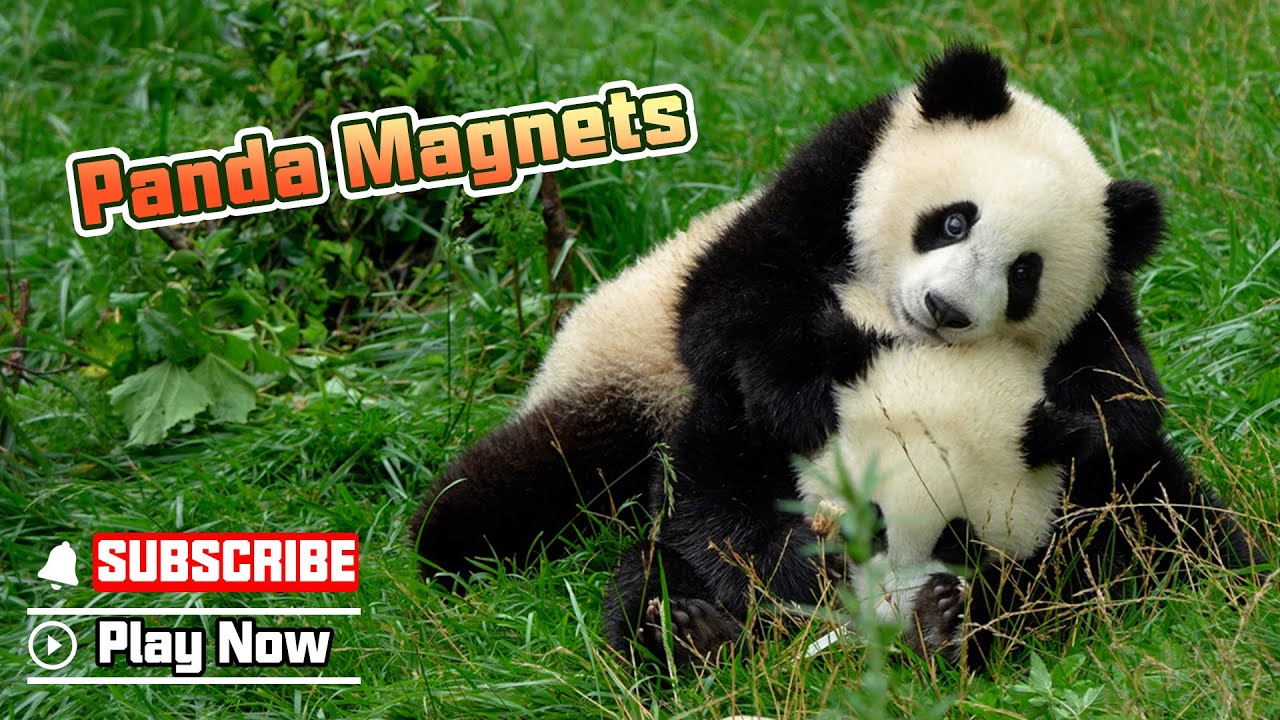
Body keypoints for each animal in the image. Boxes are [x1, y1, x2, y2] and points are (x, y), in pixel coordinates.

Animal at [409, 46, 1261, 667]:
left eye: (1025, 274)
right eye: (953, 221)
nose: (946, 311)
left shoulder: (1098, 321)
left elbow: (1123, 410)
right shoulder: (820, 192)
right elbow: (733, 308)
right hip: (621, 373)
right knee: (546, 474)